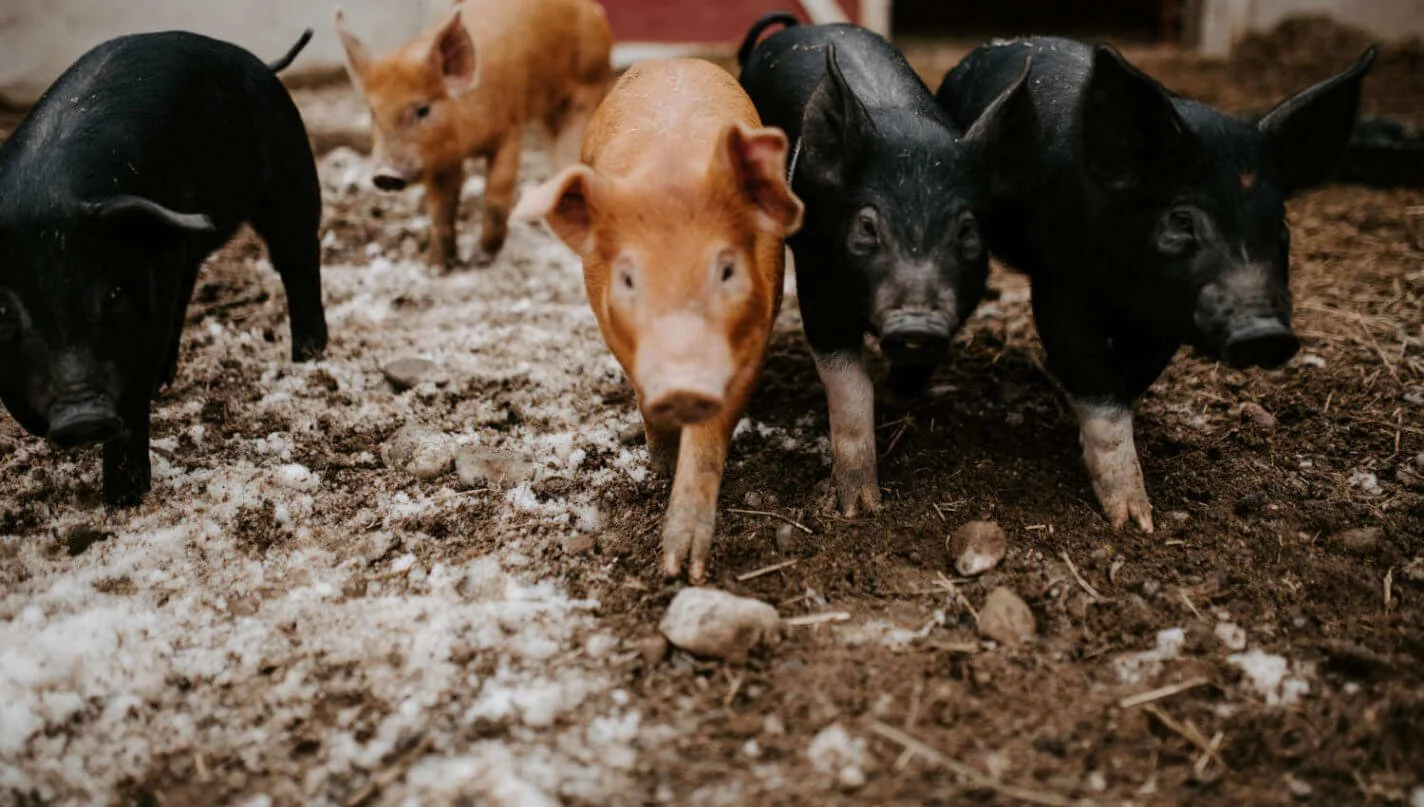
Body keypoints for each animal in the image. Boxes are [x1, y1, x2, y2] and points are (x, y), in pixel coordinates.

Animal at [0, 29, 329, 508]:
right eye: (4, 311)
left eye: (112, 293)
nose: (82, 415)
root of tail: (259, 62)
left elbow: (132, 403)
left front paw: (122, 501)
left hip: (291, 173)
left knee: (298, 258)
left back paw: (307, 358)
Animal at [334, 0, 613, 269]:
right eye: (373, 112)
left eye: (422, 109)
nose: (384, 175)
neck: (466, 143)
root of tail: (593, 11)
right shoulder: (439, 160)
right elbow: (441, 208)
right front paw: (436, 265)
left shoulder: (509, 128)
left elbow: (497, 196)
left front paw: (479, 259)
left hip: (588, 85)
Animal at [513, 58, 804, 581]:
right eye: (629, 278)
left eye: (726, 269)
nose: (682, 384)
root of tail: (675, 59)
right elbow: (645, 401)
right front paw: (661, 472)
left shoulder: (757, 331)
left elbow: (711, 436)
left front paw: (684, 568)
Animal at [737, 16, 1030, 516]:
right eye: (868, 225)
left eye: (966, 229)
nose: (916, 321)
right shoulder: (817, 282)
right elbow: (851, 386)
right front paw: (858, 507)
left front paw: (898, 400)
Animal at [936, 37, 1375, 530]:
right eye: (1181, 220)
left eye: (1280, 224)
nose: (1264, 332)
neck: (1127, 288)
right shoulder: (1058, 286)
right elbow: (1096, 383)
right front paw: (1133, 522)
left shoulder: (1167, 315)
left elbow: (1134, 376)